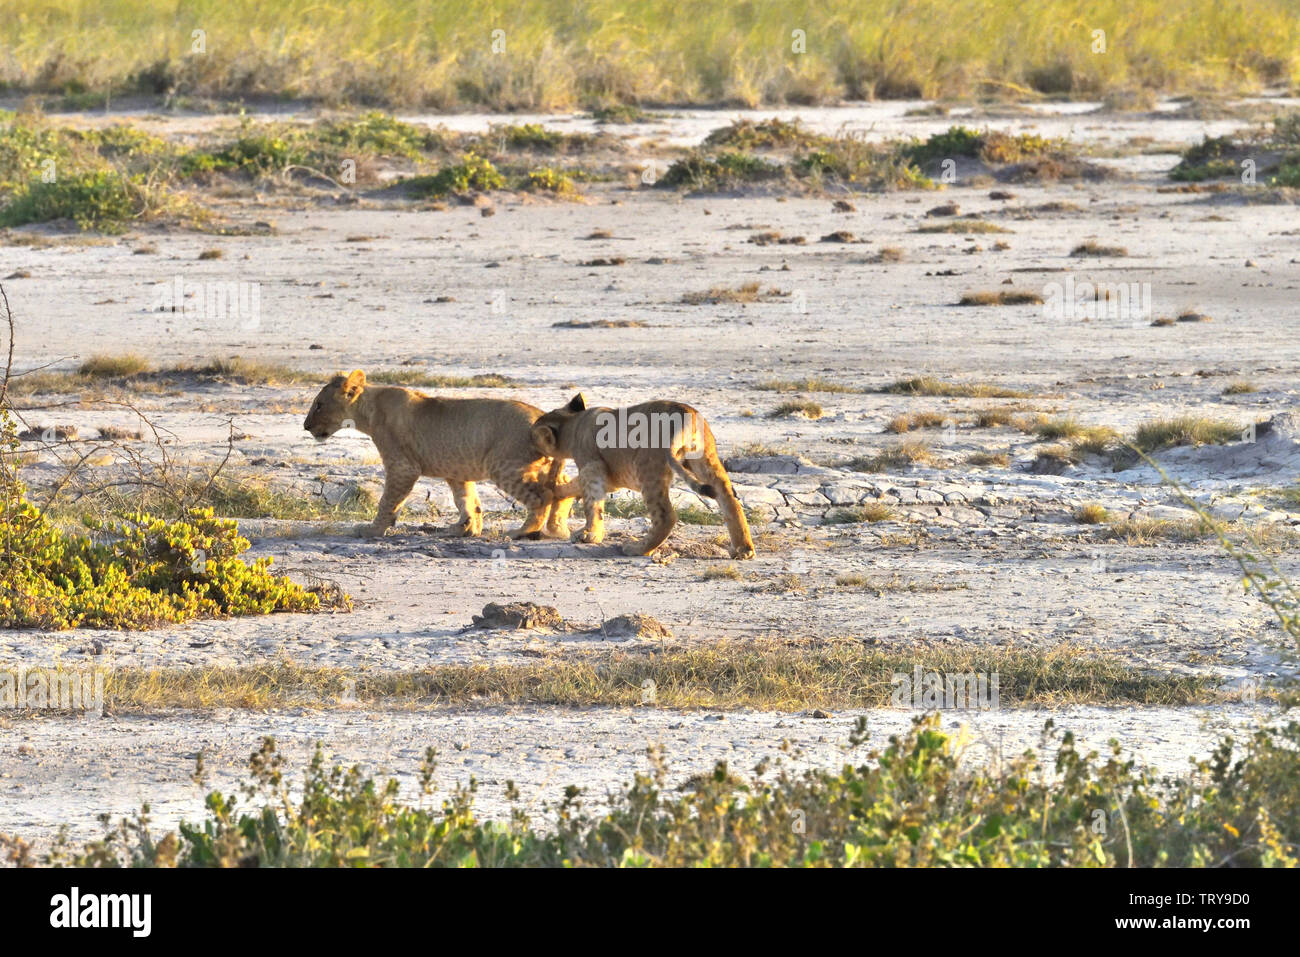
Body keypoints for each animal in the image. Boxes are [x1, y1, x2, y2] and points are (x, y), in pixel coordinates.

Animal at [304, 370, 574, 539]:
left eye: (319, 405)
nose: (305, 426)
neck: (369, 410)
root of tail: (541, 417)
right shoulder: (458, 471)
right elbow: (467, 501)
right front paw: (465, 529)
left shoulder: (403, 467)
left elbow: (388, 501)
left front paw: (372, 531)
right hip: (541, 467)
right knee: (563, 489)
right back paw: (559, 529)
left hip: (504, 466)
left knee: (542, 496)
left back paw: (523, 532)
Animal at [530, 394, 755, 559]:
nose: (529, 434)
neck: (574, 424)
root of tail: (686, 417)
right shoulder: (610, 477)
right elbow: (575, 487)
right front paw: (556, 491)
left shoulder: (592, 466)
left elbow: (592, 503)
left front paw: (589, 535)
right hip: (706, 460)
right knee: (728, 498)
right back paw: (743, 549)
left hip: (647, 466)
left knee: (666, 516)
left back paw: (636, 548)